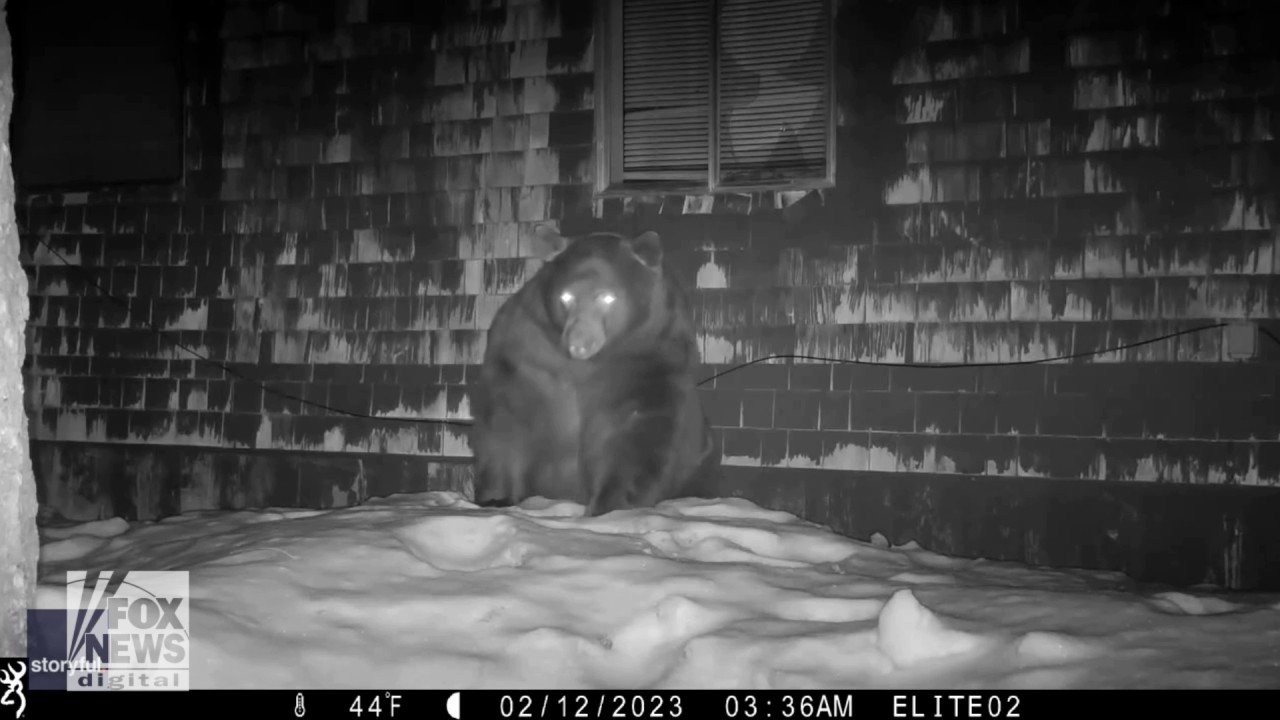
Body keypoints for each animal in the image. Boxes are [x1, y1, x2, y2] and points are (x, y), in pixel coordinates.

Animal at [470, 225, 719, 517]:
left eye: (607, 297)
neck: (587, 364)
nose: (579, 343)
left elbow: (638, 430)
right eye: (566, 296)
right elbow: (507, 419)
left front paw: (610, 504)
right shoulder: (528, 351)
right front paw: (495, 498)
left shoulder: (649, 357)